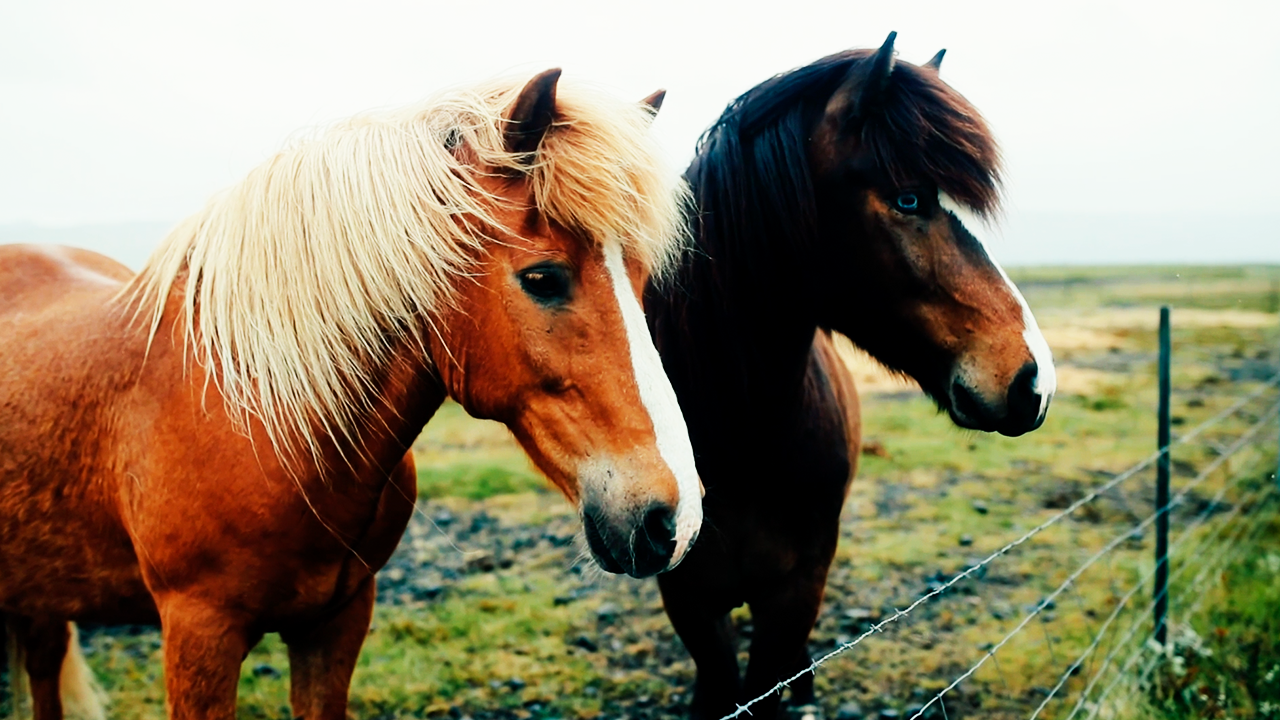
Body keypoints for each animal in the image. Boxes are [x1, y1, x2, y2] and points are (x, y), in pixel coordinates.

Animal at [0, 69, 703, 720]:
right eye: (543, 278)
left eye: (642, 277)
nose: (674, 519)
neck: (259, 415)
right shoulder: (199, 634)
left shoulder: (336, 622)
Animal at [643, 34, 1057, 719]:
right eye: (909, 197)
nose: (1033, 381)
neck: (739, 442)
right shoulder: (690, 598)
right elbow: (722, 686)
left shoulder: (798, 586)